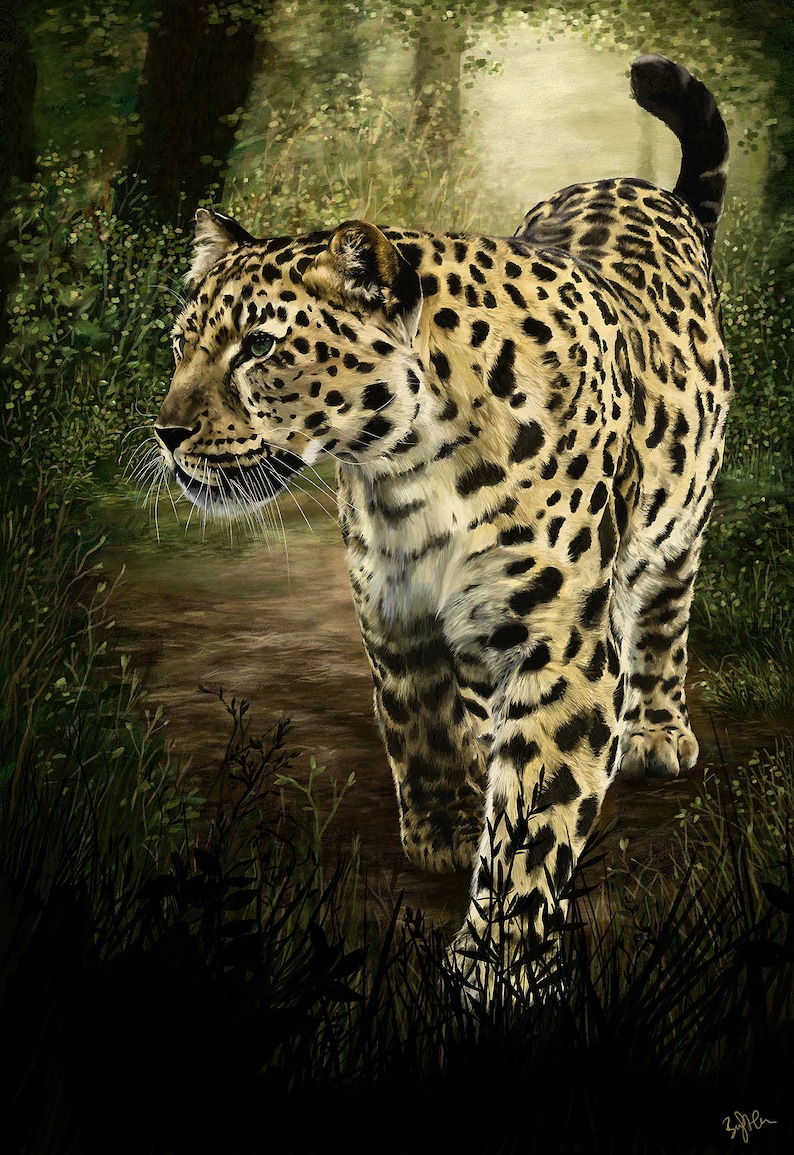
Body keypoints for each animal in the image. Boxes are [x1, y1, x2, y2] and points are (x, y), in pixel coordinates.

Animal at [153, 54, 731, 1005]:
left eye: (260, 347)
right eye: (179, 342)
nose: (166, 432)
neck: (410, 467)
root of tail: (646, 188)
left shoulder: (561, 642)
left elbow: (535, 810)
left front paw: (499, 962)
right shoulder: (393, 605)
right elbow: (414, 720)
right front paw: (445, 832)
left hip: (680, 518)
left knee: (661, 614)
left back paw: (653, 731)